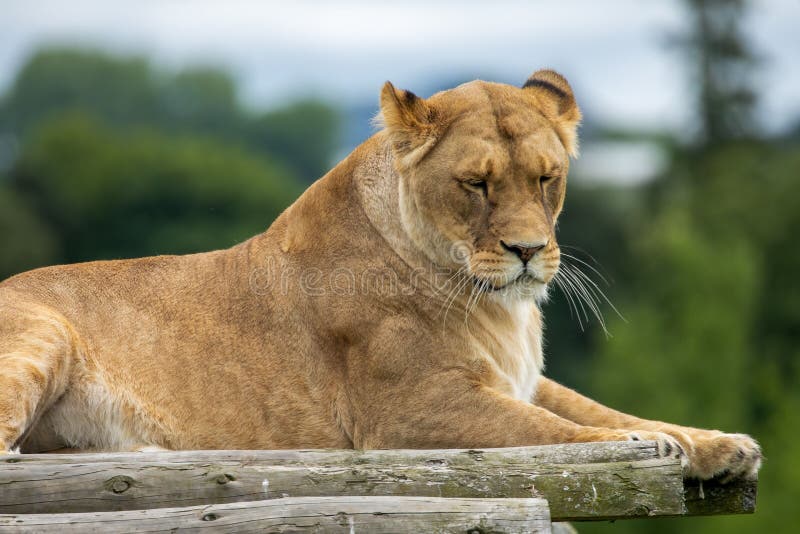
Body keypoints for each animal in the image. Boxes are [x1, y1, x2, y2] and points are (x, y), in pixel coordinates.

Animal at [0, 70, 760, 482]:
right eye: (476, 184)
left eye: (547, 178)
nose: (527, 250)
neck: (495, 304)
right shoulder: (410, 407)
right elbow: (549, 429)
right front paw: (639, 447)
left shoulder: (521, 377)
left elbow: (597, 408)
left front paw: (716, 443)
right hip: (43, 335)